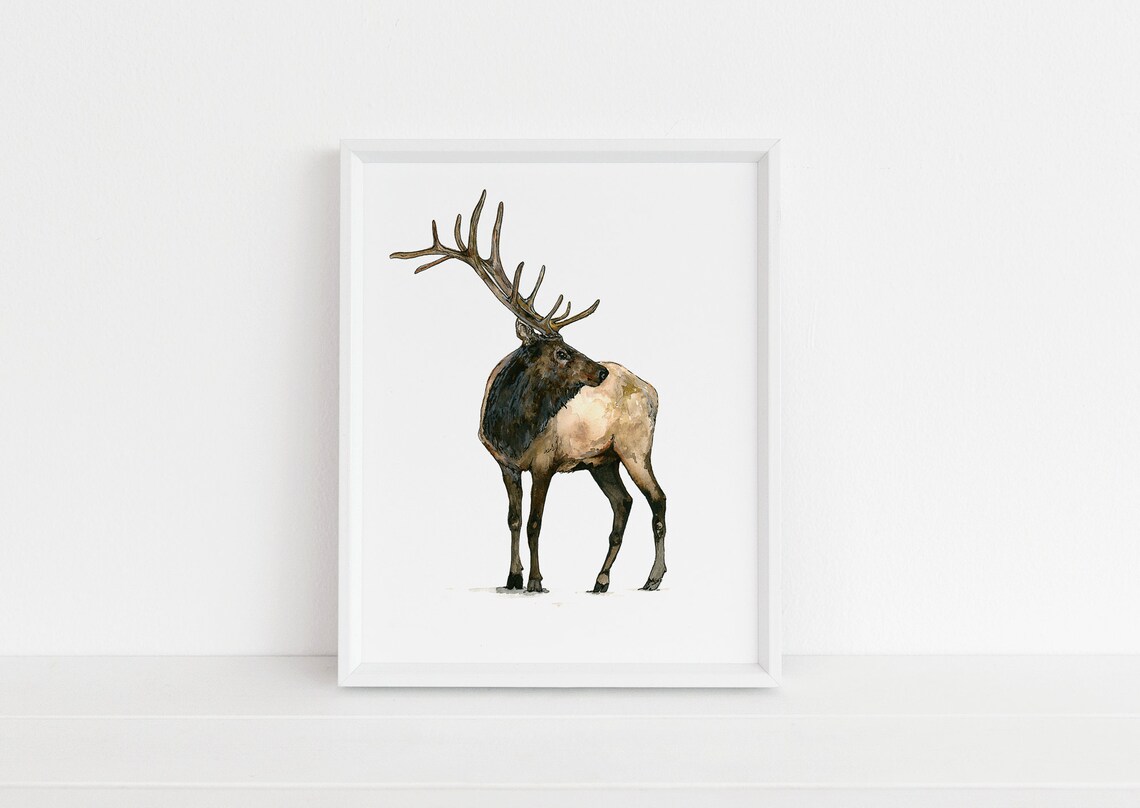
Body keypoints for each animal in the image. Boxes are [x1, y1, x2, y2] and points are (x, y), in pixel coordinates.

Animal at [390, 191, 667, 594]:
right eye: (561, 352)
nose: (600, 371)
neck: (511, 427)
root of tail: (653, 391)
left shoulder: (545, 462)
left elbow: (536, 523)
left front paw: (535, 580)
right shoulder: (506, 464)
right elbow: (515, 520)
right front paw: (513, 577)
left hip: (635, 447)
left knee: (658, 499)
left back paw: (653, 577)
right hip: (603, 460)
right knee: (624, 503)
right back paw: (600, 579)